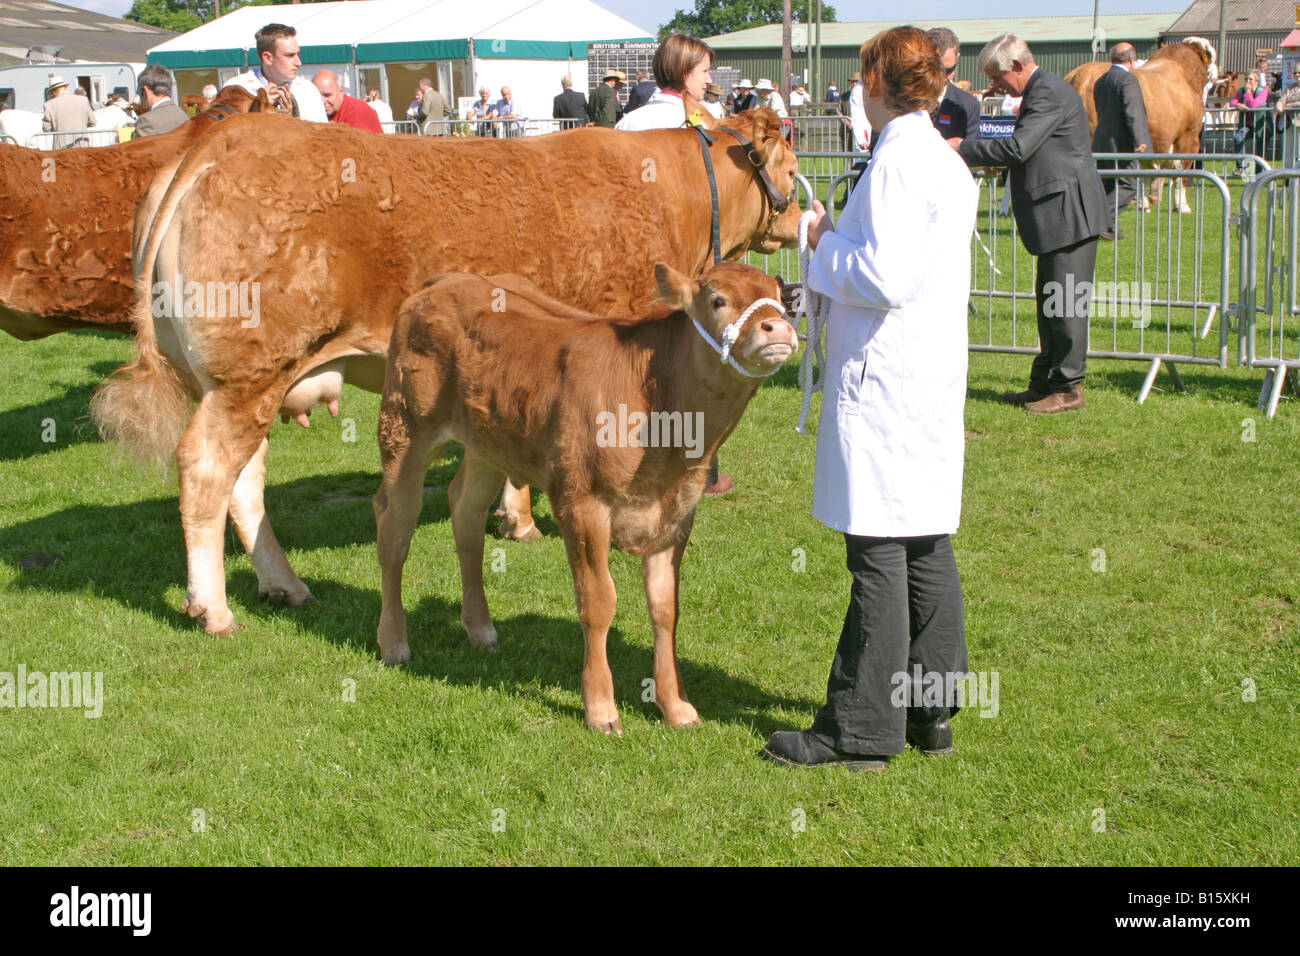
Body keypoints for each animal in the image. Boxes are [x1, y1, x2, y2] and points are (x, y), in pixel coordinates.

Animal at [91, 105, 802, 637]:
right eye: (794, 169)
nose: (805, 218)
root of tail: (220, 139)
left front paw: (513, 515)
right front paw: (524, 517)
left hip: (243, 380)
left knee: (245, 482)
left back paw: (283, 584)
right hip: (249, 375)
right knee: (208, 469)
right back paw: (212, 607)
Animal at [374, 262, 797, 733]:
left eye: (780, 296)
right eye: (718, 299)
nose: (778, 326)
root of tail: (447, 280)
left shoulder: (677, 512)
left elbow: (665, 608)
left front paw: (675, 705)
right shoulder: (582, 502)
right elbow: (598, 602)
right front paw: (600, 707)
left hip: (488, 441)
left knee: (465, 513)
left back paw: (480, 628)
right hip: (406, 426)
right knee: (394, 528)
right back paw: (393, 642)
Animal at [1066, 37, 1217, 214]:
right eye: (1212, 55)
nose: (1217, 71)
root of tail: (1078, 76)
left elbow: (1144, 174)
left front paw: (1143, 204)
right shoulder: (1189, 136)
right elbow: (1181, 173)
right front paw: (1182, 205)